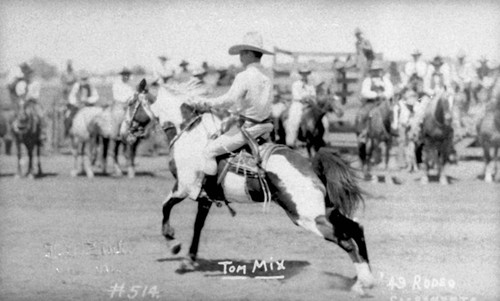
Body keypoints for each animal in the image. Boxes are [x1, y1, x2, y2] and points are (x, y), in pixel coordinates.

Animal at [123, 78, 376, 294]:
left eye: (129, 104)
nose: (125, 132)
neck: (191, 136)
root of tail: (311, 164)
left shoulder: (184, 187)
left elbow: (165, 207)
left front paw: (173, 243)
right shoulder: (205, 198)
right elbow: (197, 226)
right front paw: (189, 259)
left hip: (306, 216)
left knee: (346, 240)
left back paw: (362, 284)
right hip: (326, 209)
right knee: (356, 228)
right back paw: (363, 278)